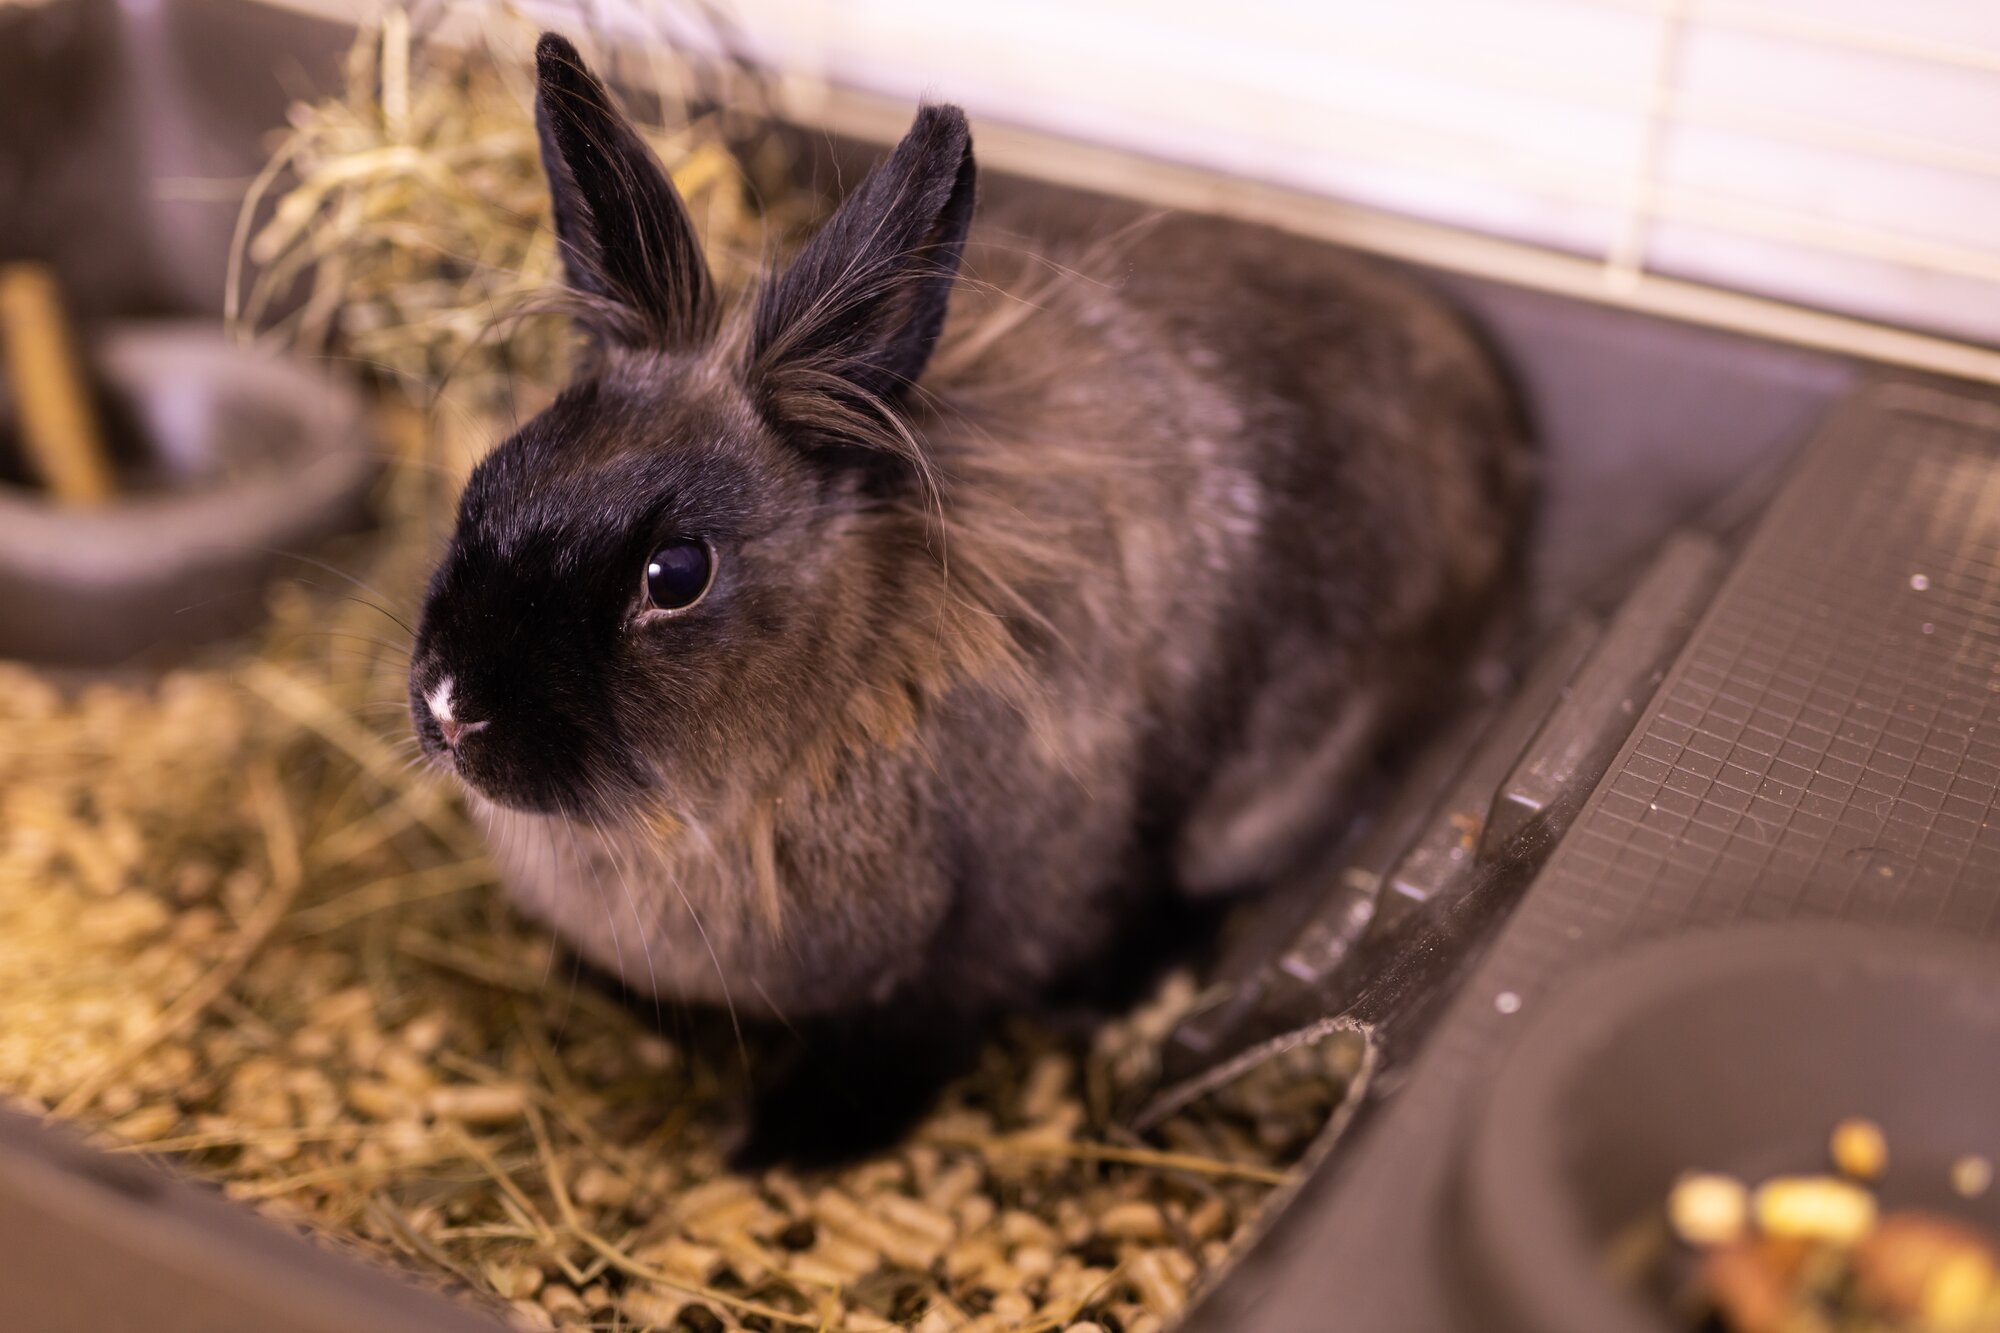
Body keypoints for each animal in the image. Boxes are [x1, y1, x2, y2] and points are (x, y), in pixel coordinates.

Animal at [408, 32, 1534, 1161]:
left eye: (676, 574)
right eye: (493, 475)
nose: (454, 705)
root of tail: (1486, 406)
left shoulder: (991, 934)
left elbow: (915, 1035)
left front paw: (780, 1144)